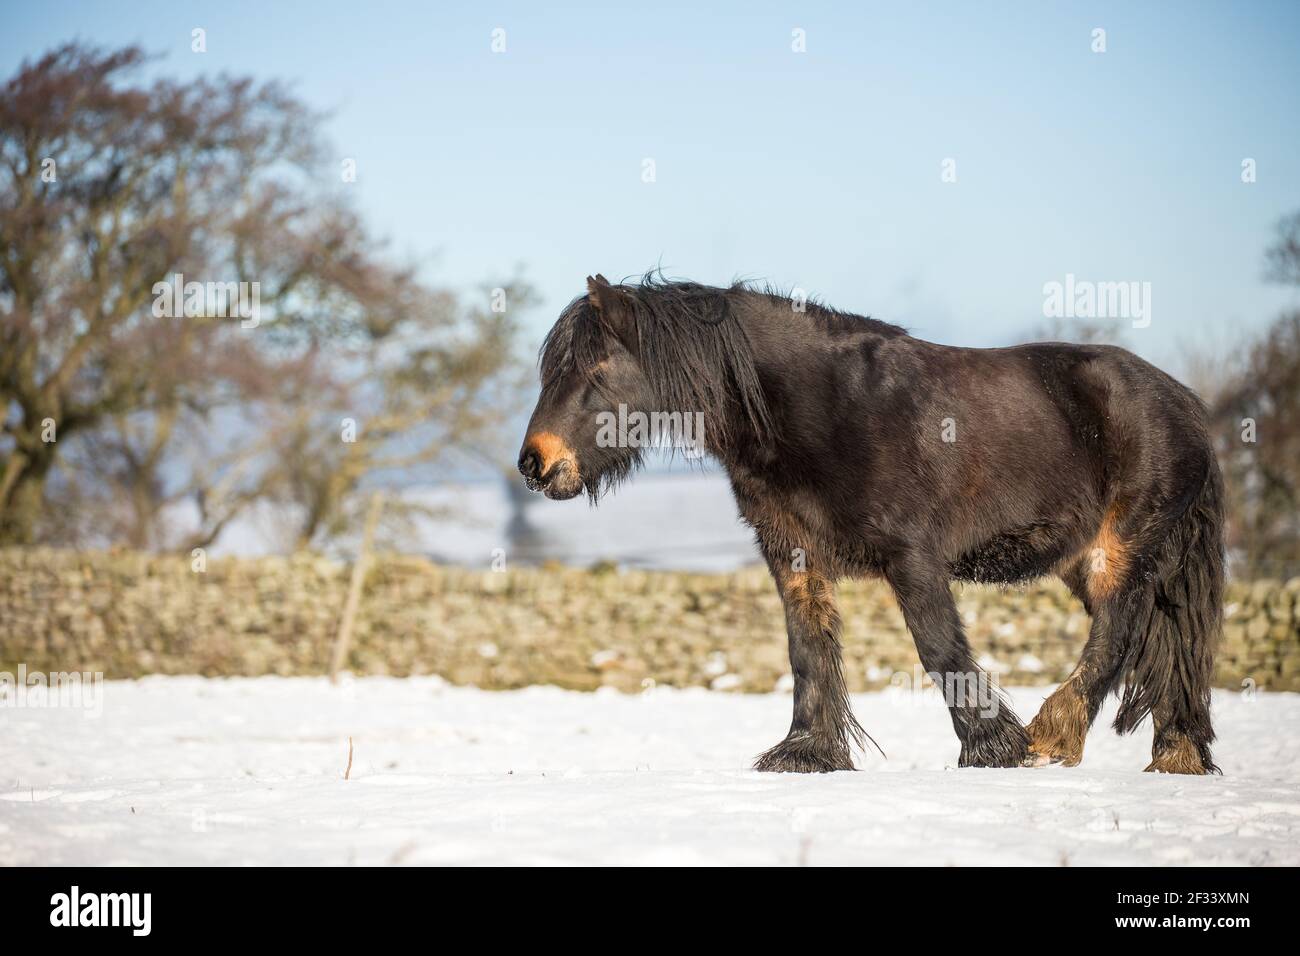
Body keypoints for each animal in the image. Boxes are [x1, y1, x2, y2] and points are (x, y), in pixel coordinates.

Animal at [518, 274, 1223, 774]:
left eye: (595, 369)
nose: (535, 463)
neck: (818, 407)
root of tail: (1185, 402)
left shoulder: (911, 556)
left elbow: (939, 648)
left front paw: (993, 747)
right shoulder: (792, 555)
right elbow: (808, 649)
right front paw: (807, 752)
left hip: (1119, 547)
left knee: (1122, 630)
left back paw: (1056, 733)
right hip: (1091, 559)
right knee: (1164, 640)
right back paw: (1176, 754)